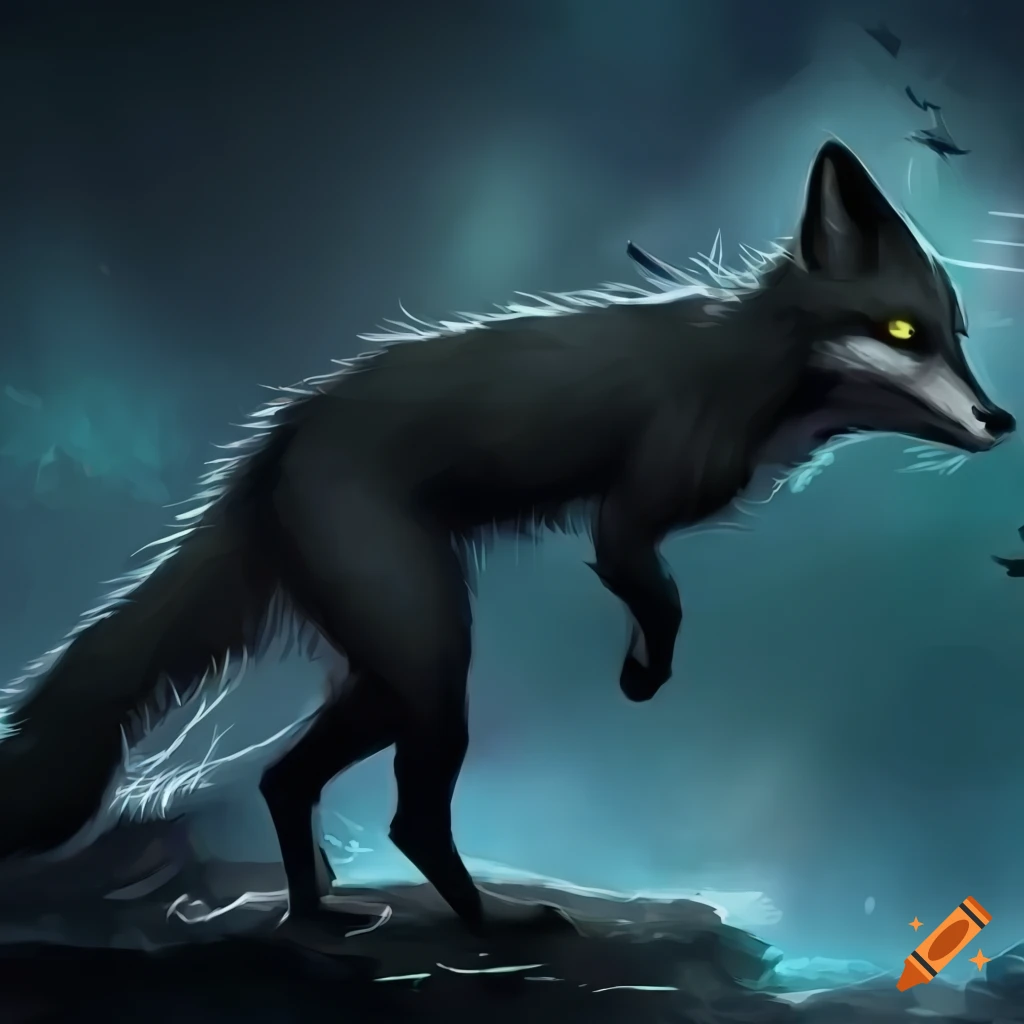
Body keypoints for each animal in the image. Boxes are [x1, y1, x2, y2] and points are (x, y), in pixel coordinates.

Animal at [0, 140, 1013, 938]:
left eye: (957, 332)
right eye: (901, 331)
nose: (1000, 419)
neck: (758, 367)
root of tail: (271, 444)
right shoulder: (632, 511)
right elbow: (658, 598)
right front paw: (642, 673)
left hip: (390, 675)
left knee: (285, 782)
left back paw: (319, 910)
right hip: (430, 660)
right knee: (407, 819)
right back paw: (491, 920)